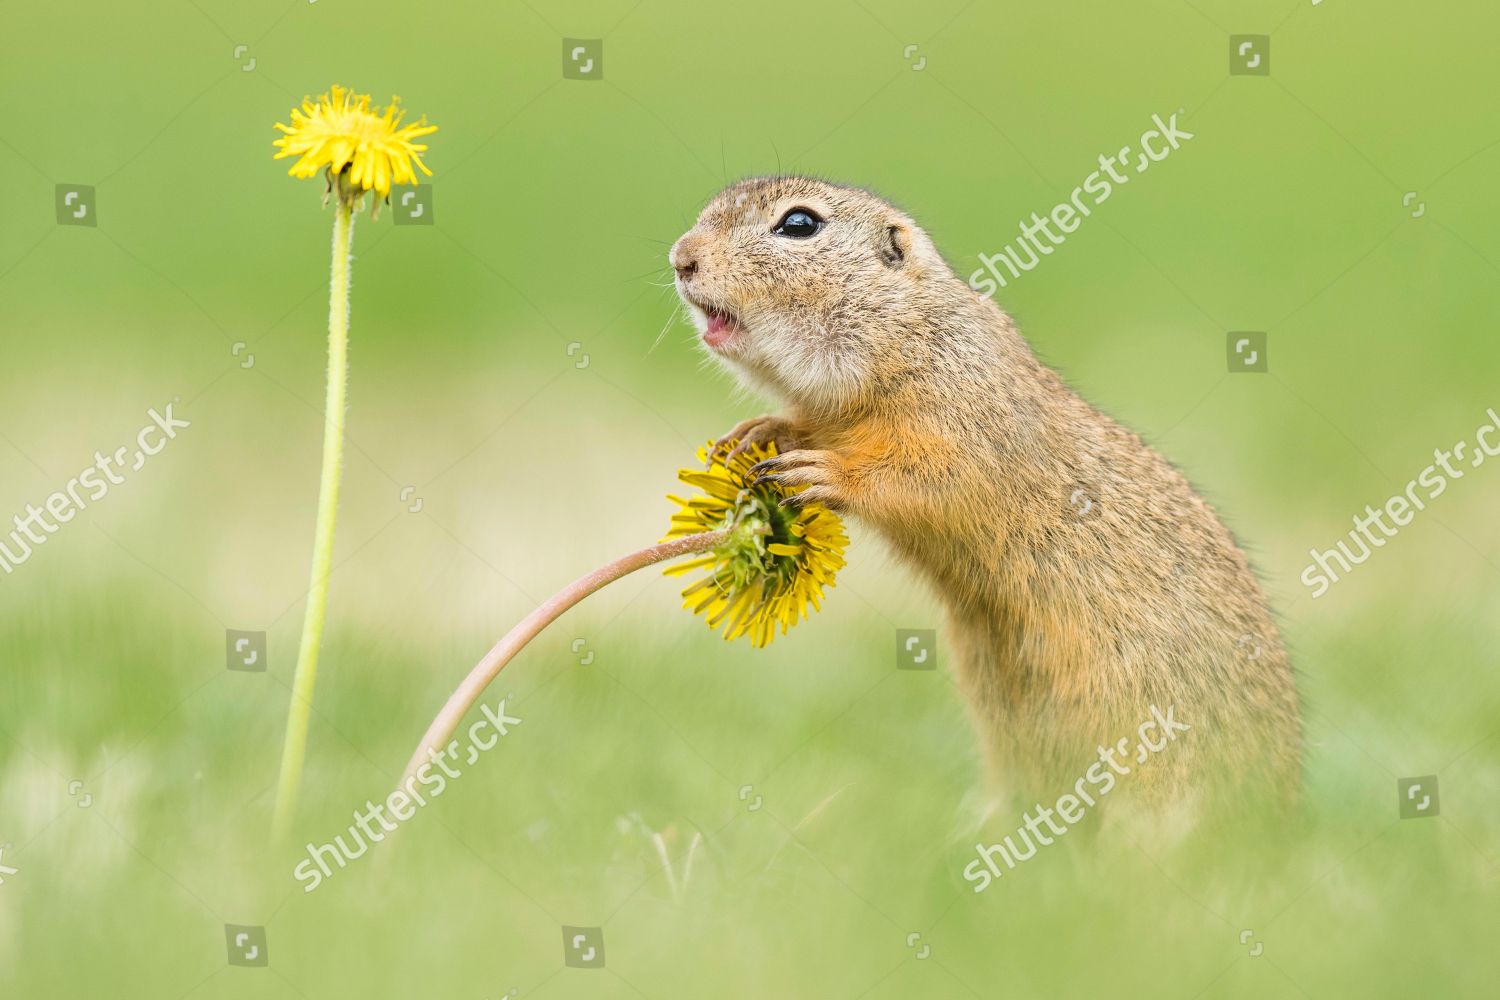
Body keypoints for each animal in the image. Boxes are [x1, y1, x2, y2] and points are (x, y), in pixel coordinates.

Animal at [669, 176, 1301, 814]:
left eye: (799, 224)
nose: (680, 257)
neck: (907, 332)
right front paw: (755, 434)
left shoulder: (961, 421)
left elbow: (925, 477)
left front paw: (820, 473)